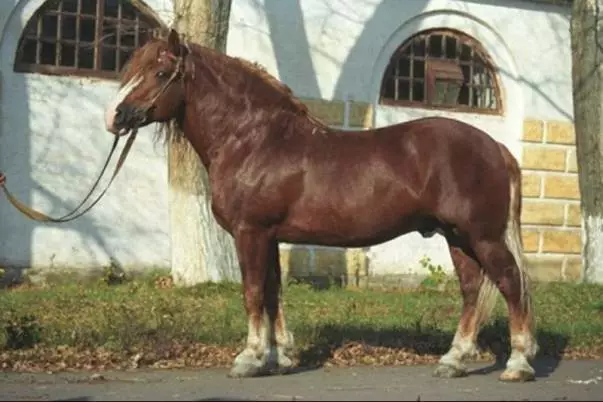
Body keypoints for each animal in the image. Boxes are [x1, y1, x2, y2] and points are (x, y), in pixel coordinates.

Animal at [102, 29, 536, 382]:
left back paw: (518, 364)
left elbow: (253, 292)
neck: (254, 140)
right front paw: (281, 357)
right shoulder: (270, 237)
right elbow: (273, 293)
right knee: (472, 290)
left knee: (510, 282)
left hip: (482, 237)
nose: (115, 117)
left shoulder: (251, 233)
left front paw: (250, 358)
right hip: (457, 237)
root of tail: (496, 148)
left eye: (161, 73)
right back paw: (453, 360)